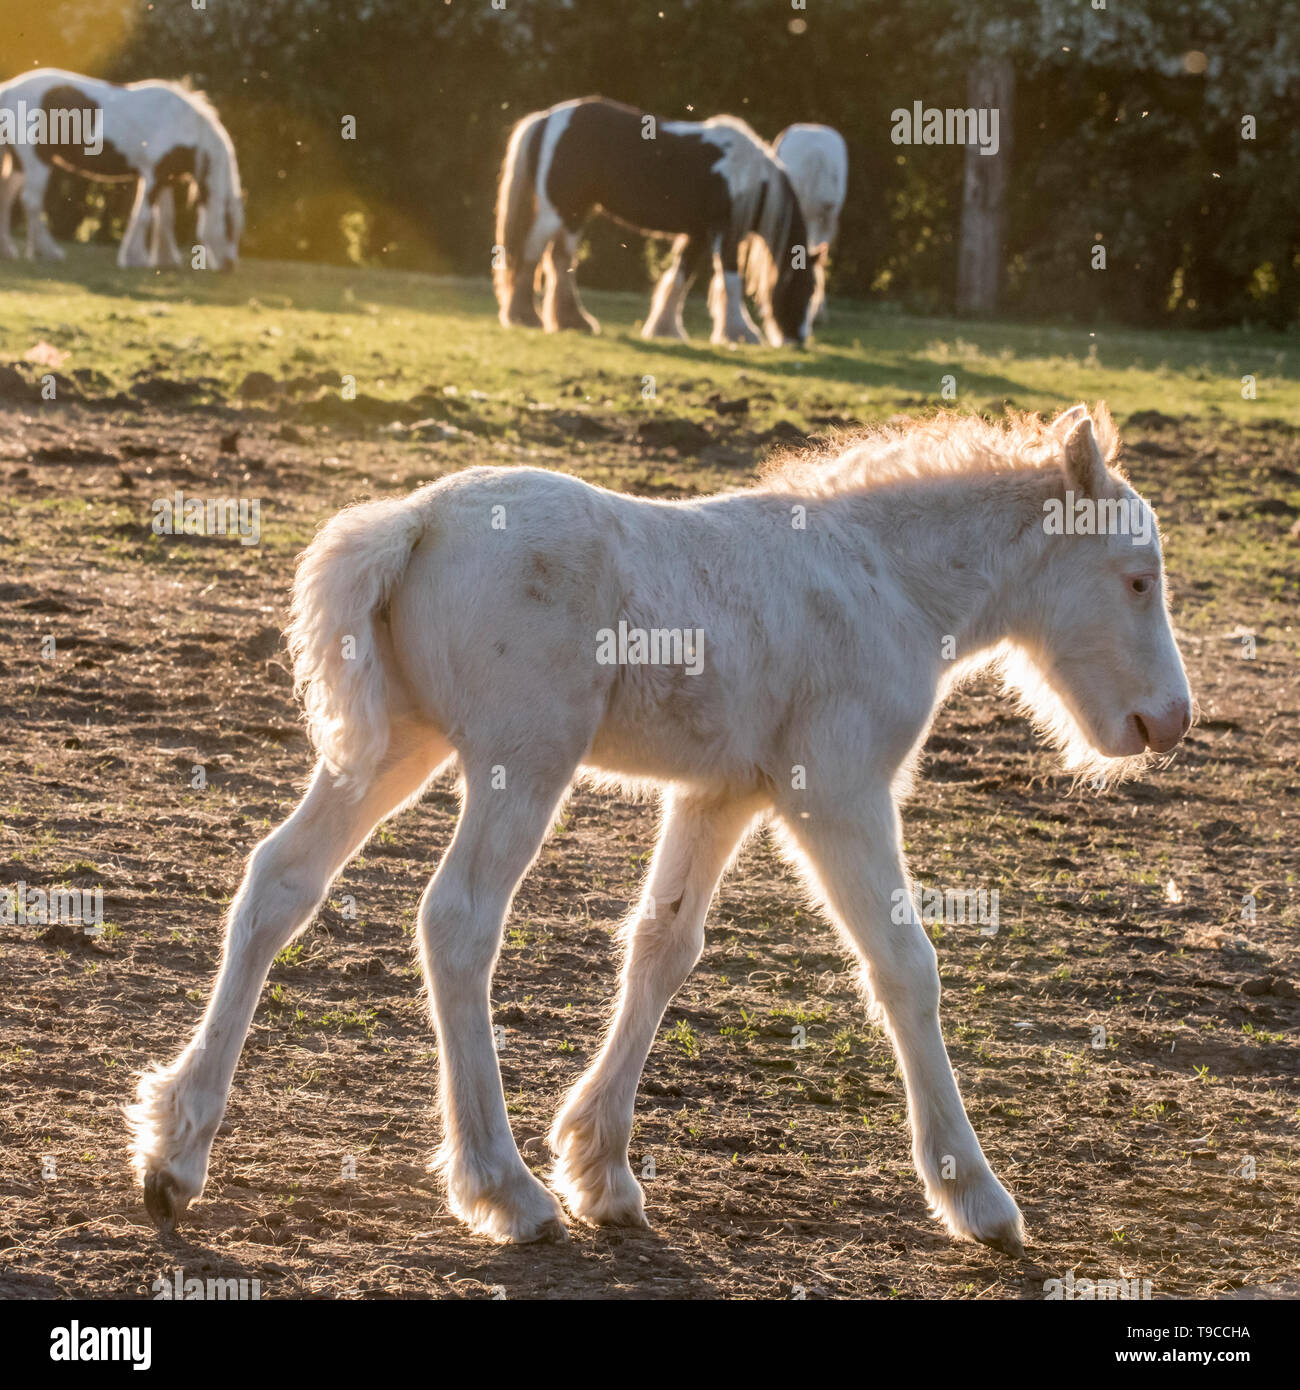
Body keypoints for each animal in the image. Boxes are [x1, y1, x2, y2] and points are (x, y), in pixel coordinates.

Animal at [0, 68, 243, 271]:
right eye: (230, 226)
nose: (229, 265)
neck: (184, 123)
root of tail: (9, 89)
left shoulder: (166, 177)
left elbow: (165, 218)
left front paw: (165, 260)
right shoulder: (154, 175)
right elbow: (144, 215)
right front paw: (135, 259)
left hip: (20, 163)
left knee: (8, 196)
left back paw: (9, 251)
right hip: (36, 161)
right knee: (31, 201)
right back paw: (48, 252)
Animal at [128, 404, 1193, 1252]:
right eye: (1138, 578)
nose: (1170, 722)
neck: (881, 579)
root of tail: (415, 521)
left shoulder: (722, 794)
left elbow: (662, 947)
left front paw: (600, 1167)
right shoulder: (839, 790)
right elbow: (903, 965)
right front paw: (977, 1197)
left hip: (393, 747)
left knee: (279, 884)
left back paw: (175, 1155)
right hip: (523, 762)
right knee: (457, 923)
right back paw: (503, 1191)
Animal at [493, 96, 817, 346]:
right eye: (807, 289)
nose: (799, 340)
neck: (746, 175)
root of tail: (546, 118)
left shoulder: (698, 233)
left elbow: (679, 278)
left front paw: (665, 329)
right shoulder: (726, 232)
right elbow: (730, 279)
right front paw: (741, 333)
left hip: (575, 211)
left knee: (560, 258)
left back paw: (572, 321)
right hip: (557, 209)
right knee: (532, 254)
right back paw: (525, 317)